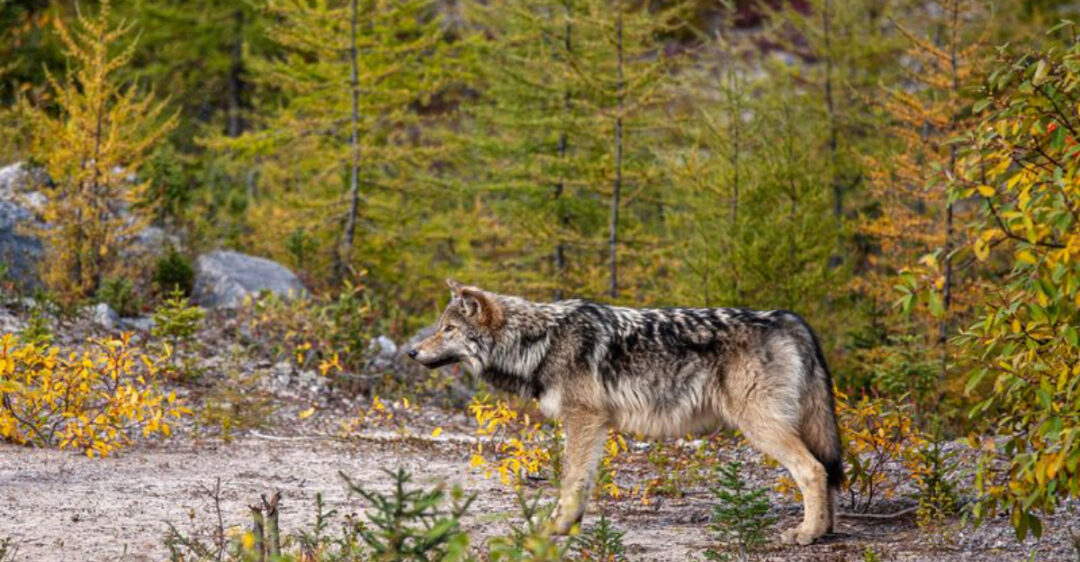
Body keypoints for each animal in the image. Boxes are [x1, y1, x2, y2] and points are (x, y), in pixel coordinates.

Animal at [407, 280, 843, 545]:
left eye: (448, 329)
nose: (411, 352)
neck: (539, 341)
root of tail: (789, 318)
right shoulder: (595, 425)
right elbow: (582, 483)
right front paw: (570, 525)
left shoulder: (583, 418)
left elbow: (569, 482)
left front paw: (555, 527)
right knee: (827, 469)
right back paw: (825, 530)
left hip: (759, 426)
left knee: (812, 469)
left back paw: (806, 533)